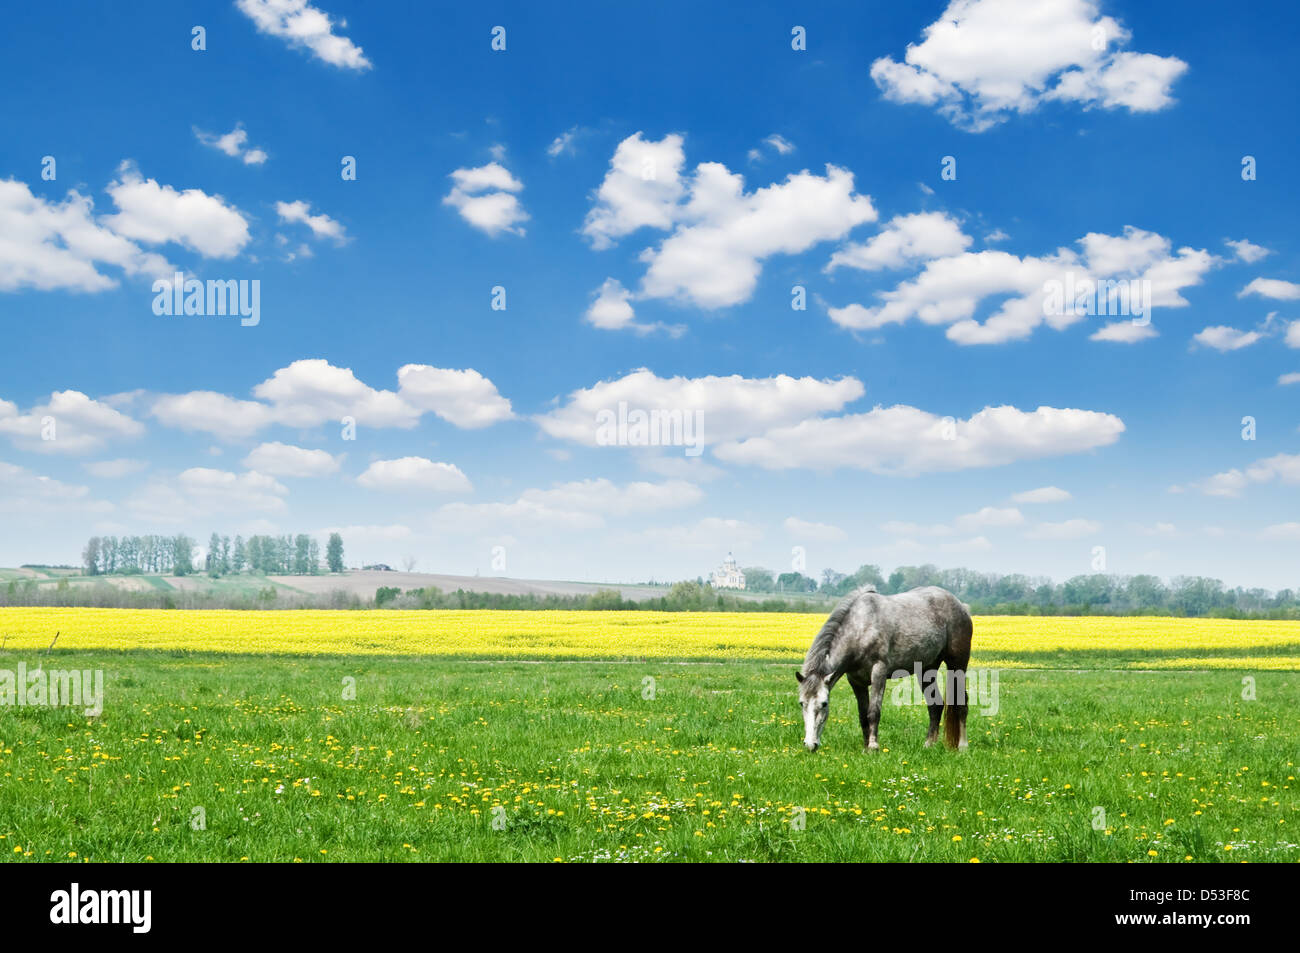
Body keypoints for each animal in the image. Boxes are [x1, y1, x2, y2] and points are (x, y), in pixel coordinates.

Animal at [795, 585, 972, 752]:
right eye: (801, 703)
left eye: (824, 703)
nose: (810, 744)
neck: (861, 628)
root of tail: (960, 605)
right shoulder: (856, 681)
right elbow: (863, 715)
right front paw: (866, 747)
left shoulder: (878, 672)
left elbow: (874, 712)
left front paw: (874, 746)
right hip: (927, 670)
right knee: (935, 706)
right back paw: (929, 744)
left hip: (957, 664)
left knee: (962, 704)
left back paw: (963, 746)